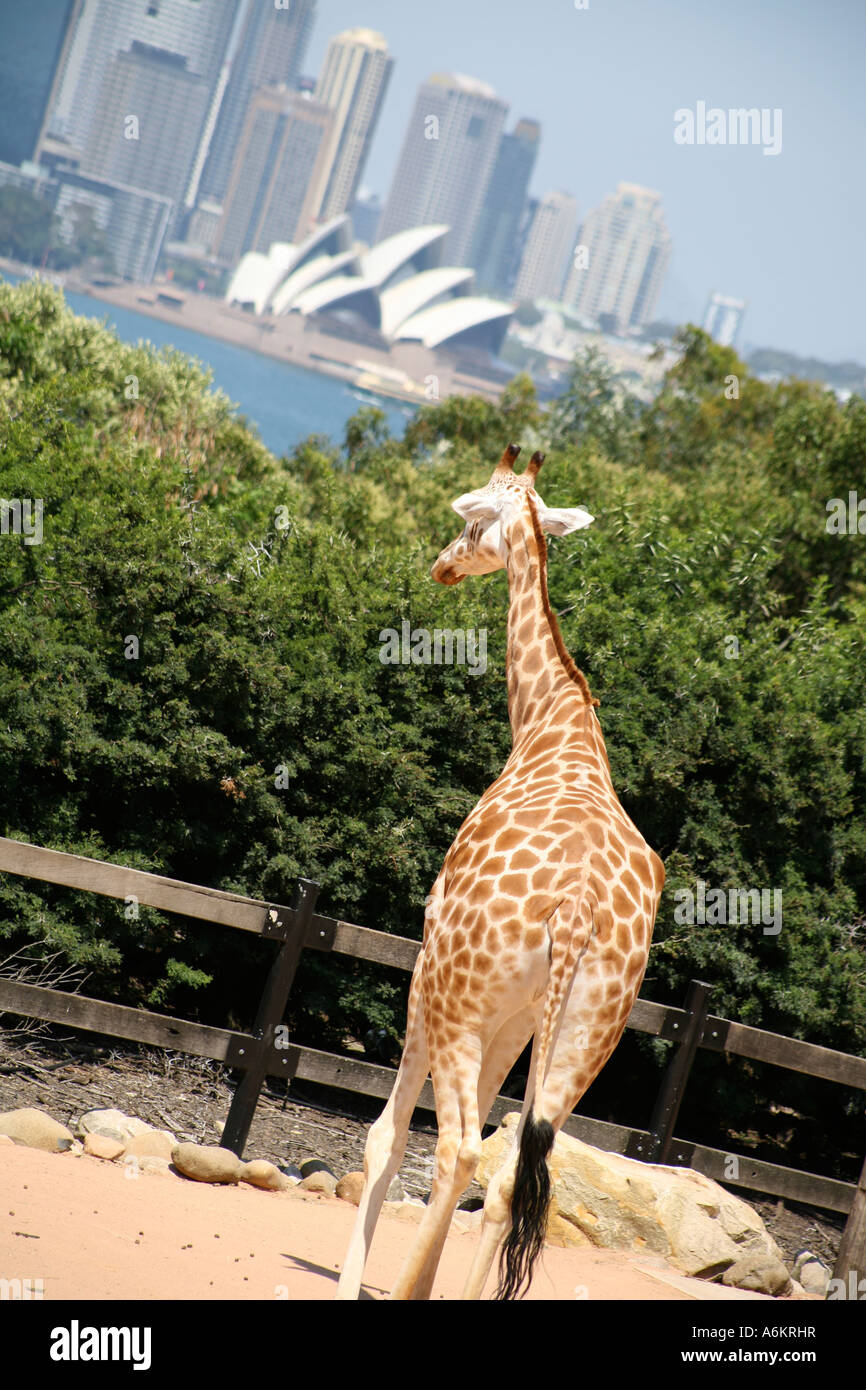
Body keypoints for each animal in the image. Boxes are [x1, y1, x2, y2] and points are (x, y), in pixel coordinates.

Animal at [336, 443, 664, 1300]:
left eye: (470, 519)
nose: (442, 564)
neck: (550, 721)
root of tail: (577, 911)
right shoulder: (514, 1016)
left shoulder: (429, 964)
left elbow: (389, 1135)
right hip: (589, 1032)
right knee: (516, 1166)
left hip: (459, 1001)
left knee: (455, 1148)